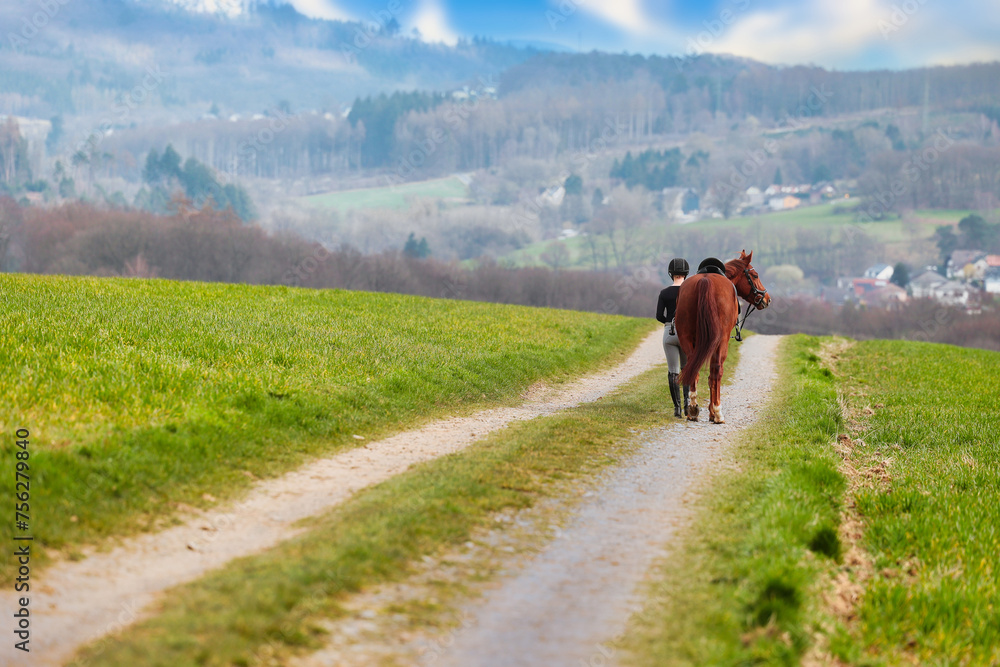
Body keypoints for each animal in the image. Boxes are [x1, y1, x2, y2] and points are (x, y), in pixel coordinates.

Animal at [676, 250, 771, 424]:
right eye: (755, 275)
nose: (767, 299)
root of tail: (705, 281)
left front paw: (708, 411)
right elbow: (714, 375)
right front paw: (714, 412)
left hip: (686, 338)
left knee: (693, 369)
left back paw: (693, 409)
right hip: (721, 341)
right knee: (717, 370)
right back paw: (718, 411)